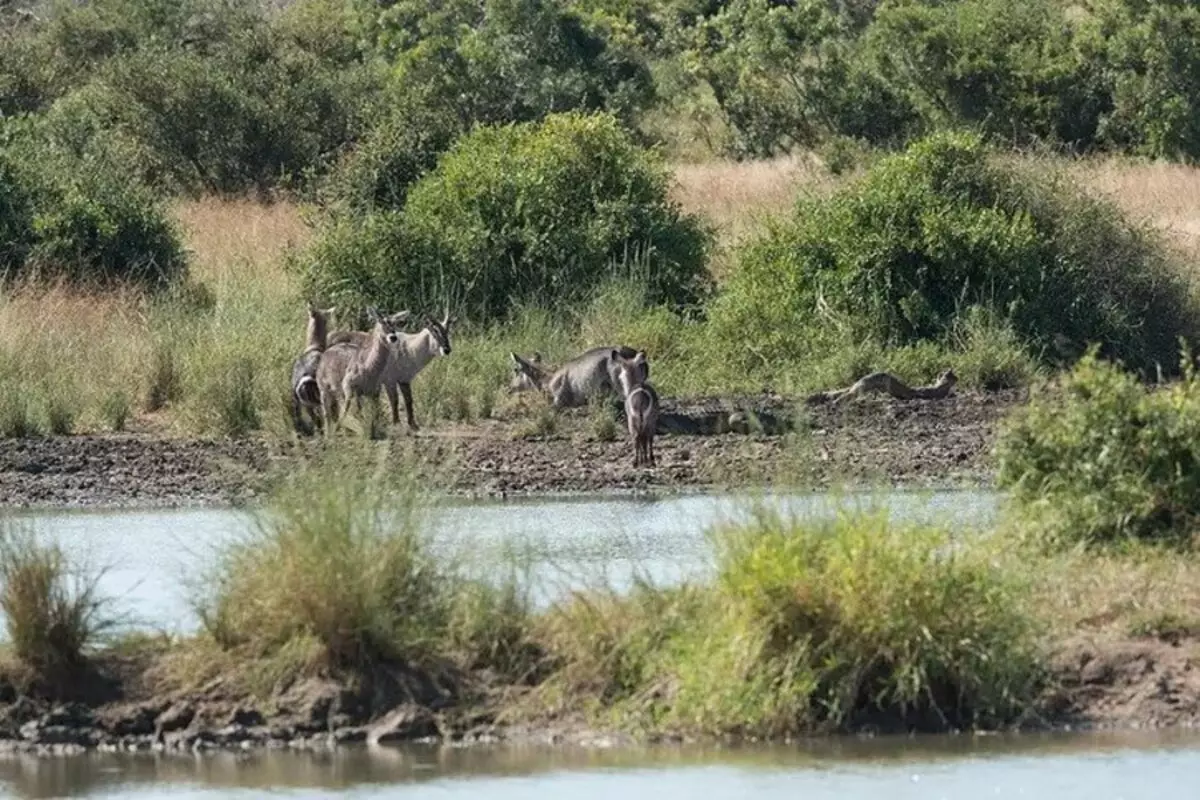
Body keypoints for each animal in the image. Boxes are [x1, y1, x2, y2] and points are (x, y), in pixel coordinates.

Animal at [316, 309, 405, 438]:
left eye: (395, 323)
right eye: (380, 322)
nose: (393, 337)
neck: (370, 368)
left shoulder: (374, 393)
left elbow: (374, 413)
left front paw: (372, 432)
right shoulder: (350, 389)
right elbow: (353, 413)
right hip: (324, 390)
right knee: (327, 412)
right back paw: (329, 435)